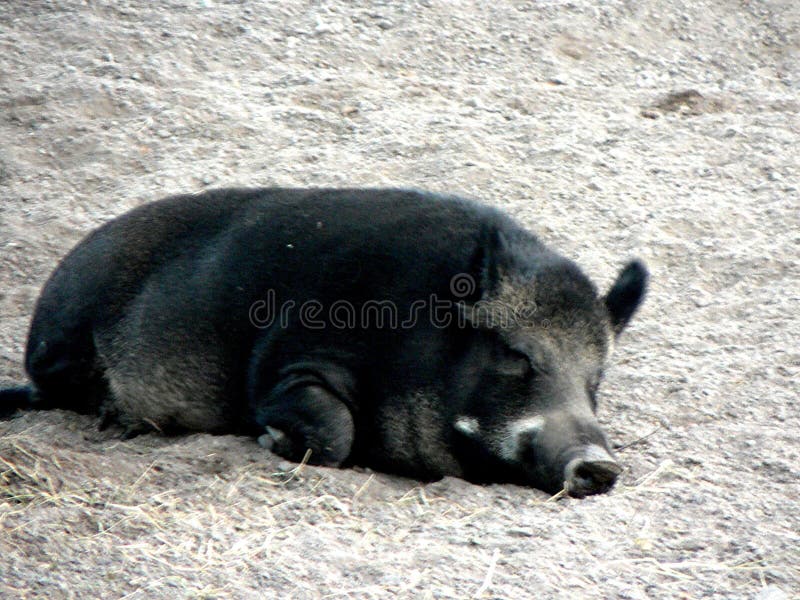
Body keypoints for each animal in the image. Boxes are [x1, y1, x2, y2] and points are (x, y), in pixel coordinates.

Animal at [0, 187, 648, 497]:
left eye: (596, 380)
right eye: (516, 355)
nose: (600, 465)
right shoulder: (288, 362)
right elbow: (334, 431)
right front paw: (273, 440)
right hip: (65, 341)